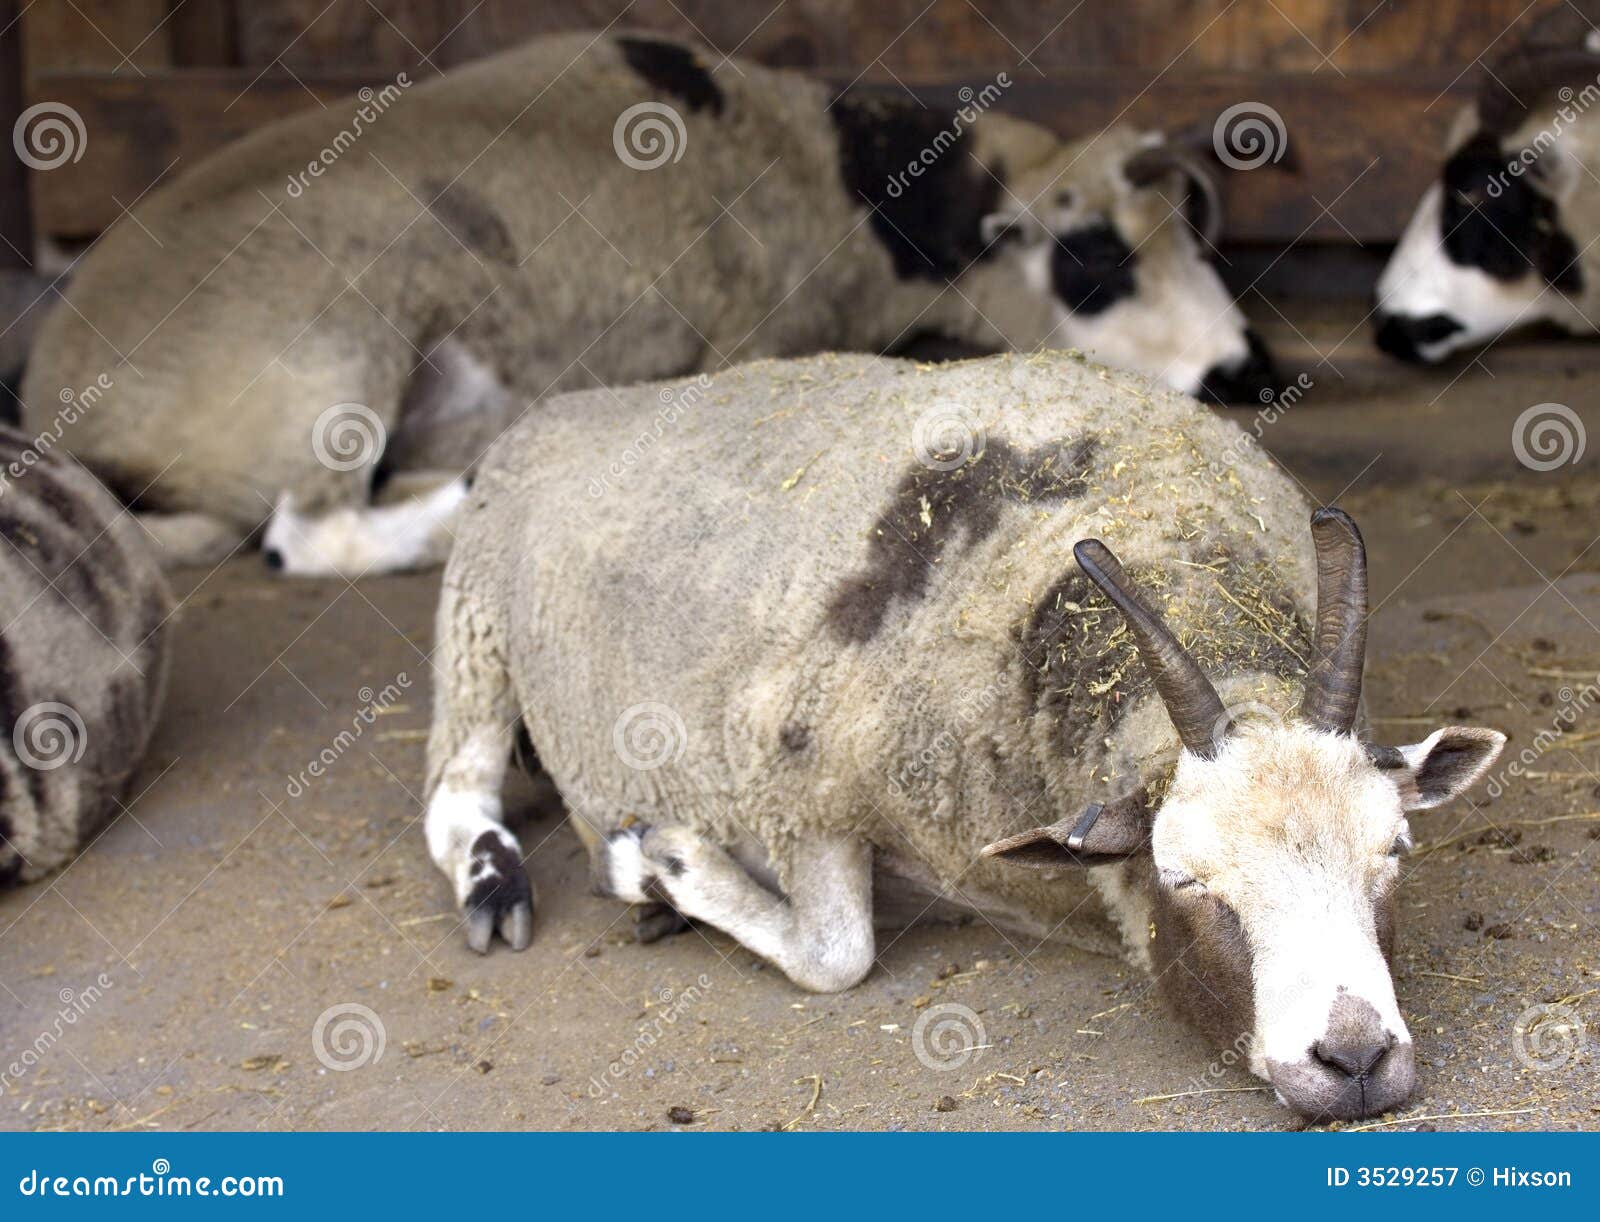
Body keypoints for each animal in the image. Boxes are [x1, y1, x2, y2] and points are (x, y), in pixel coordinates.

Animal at [21, 29, 1281, 579]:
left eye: (1194, 236)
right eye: (1091, 257)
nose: (1244, 369)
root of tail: (60, 393)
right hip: (335, 349)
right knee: (306, 533)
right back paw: (457, 507)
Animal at [422, 349, 1505, 1122]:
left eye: (1395, 850)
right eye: (1185, 879)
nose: (1354, 1058)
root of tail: (575, 403)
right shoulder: (795, 786)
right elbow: (837, 956)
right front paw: (657, 864)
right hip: (474, 620)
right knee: (453, 792)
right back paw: (500, 880)